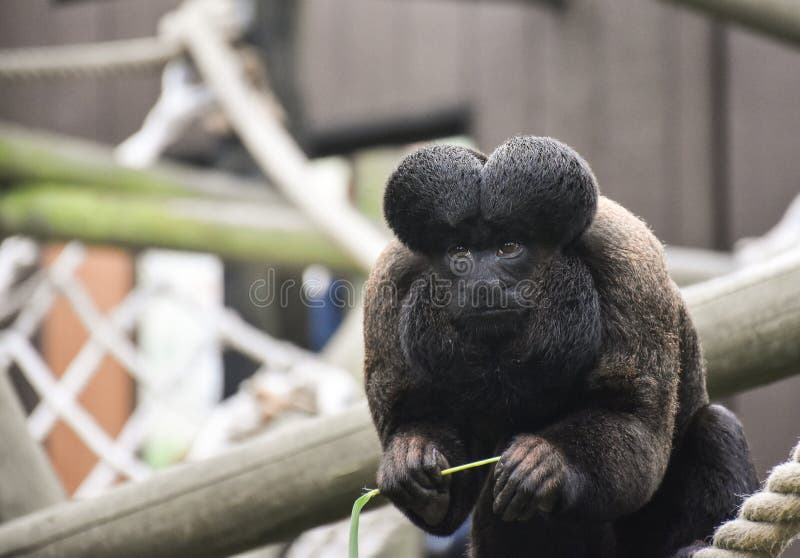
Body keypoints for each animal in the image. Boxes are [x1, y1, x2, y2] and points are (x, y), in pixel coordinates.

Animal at [363, 136, 758, 558]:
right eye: (459, 252)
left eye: (508, 247)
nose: (483, 284)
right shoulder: (387, 286)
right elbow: (424, 434)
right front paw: (412, 458)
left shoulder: (630, 269)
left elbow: (630, 420)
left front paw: (548, 462)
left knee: (715, 428)